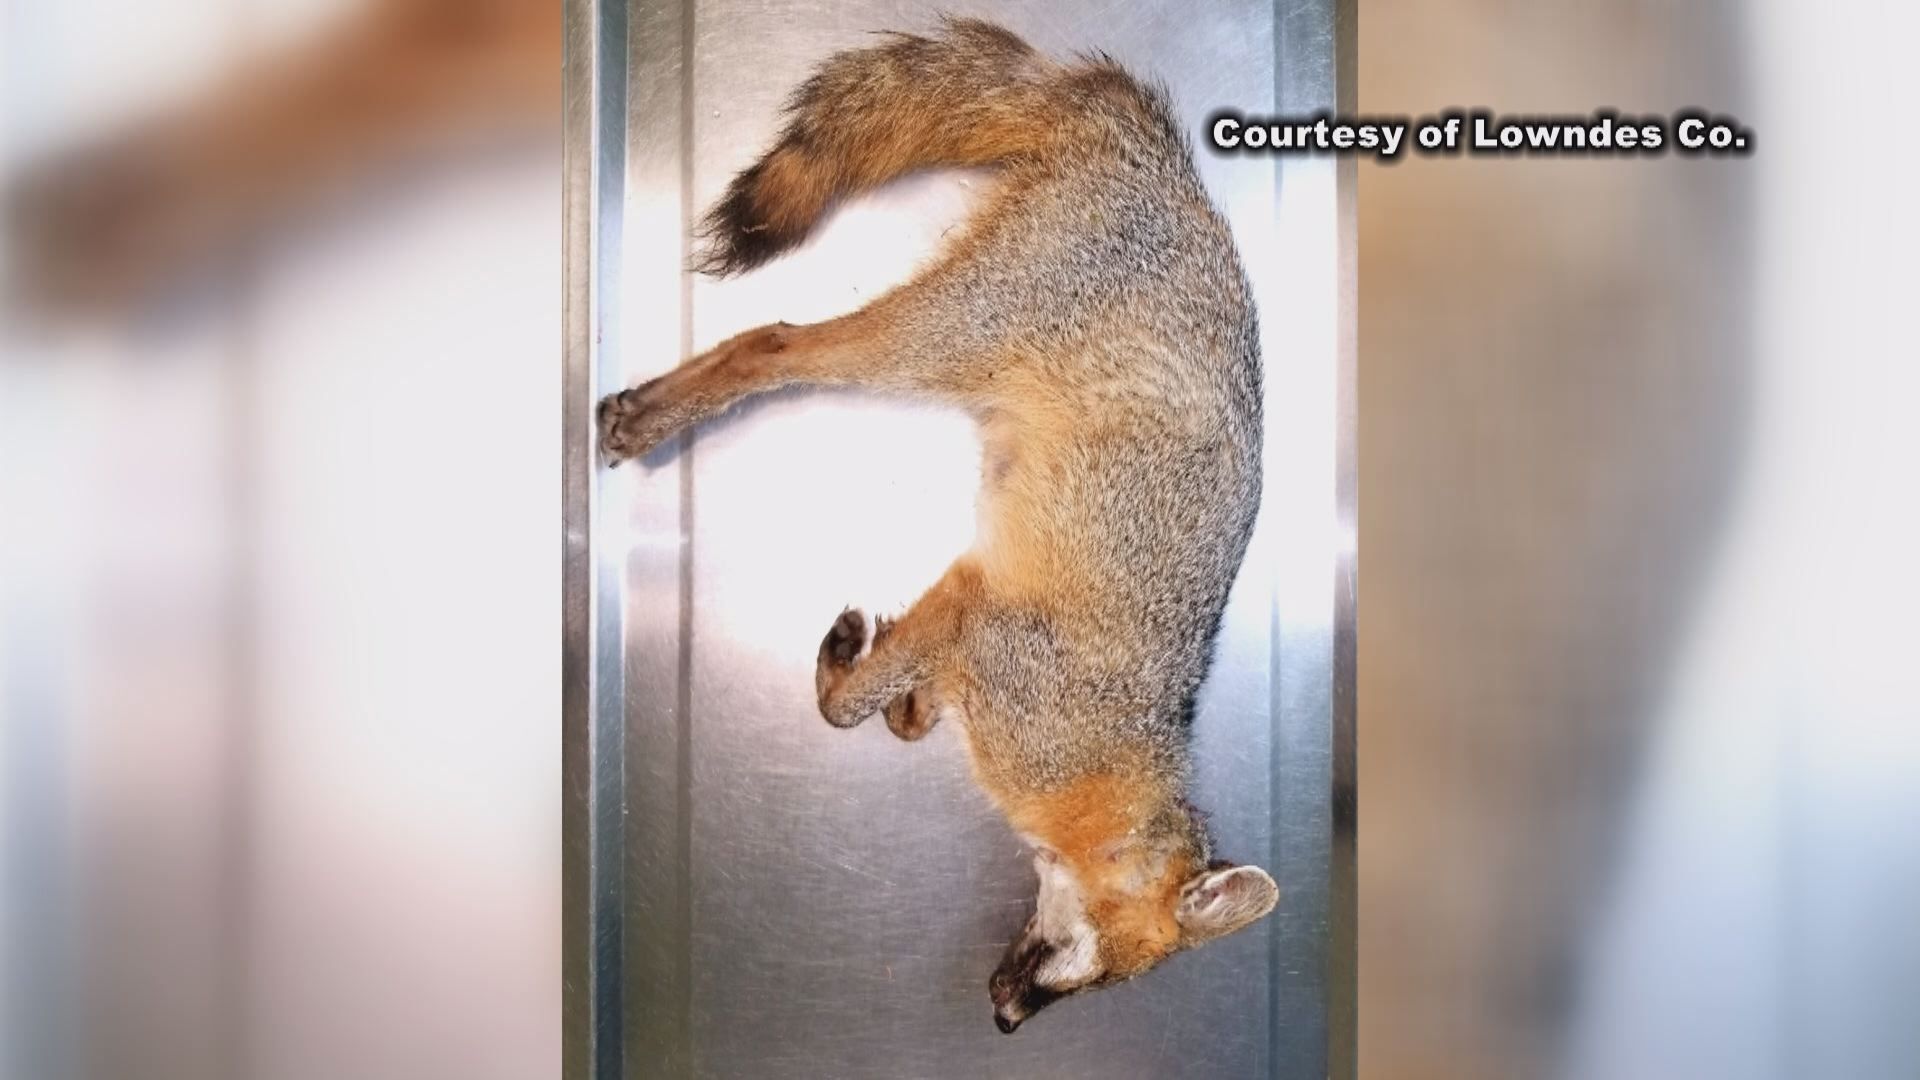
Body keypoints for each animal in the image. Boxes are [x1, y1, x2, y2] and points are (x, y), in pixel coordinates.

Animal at [597, 18, 1277, 1033]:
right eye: (1099, 968)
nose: (1003, 1023)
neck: (1097, 759)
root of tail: (1162, 154)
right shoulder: (978, 614)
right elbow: (845, 712)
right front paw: (849, 673)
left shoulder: (958, 619)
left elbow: (902, 710)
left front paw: (898, 692)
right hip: (935, 344)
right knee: (773, 340)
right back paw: (647, 417)